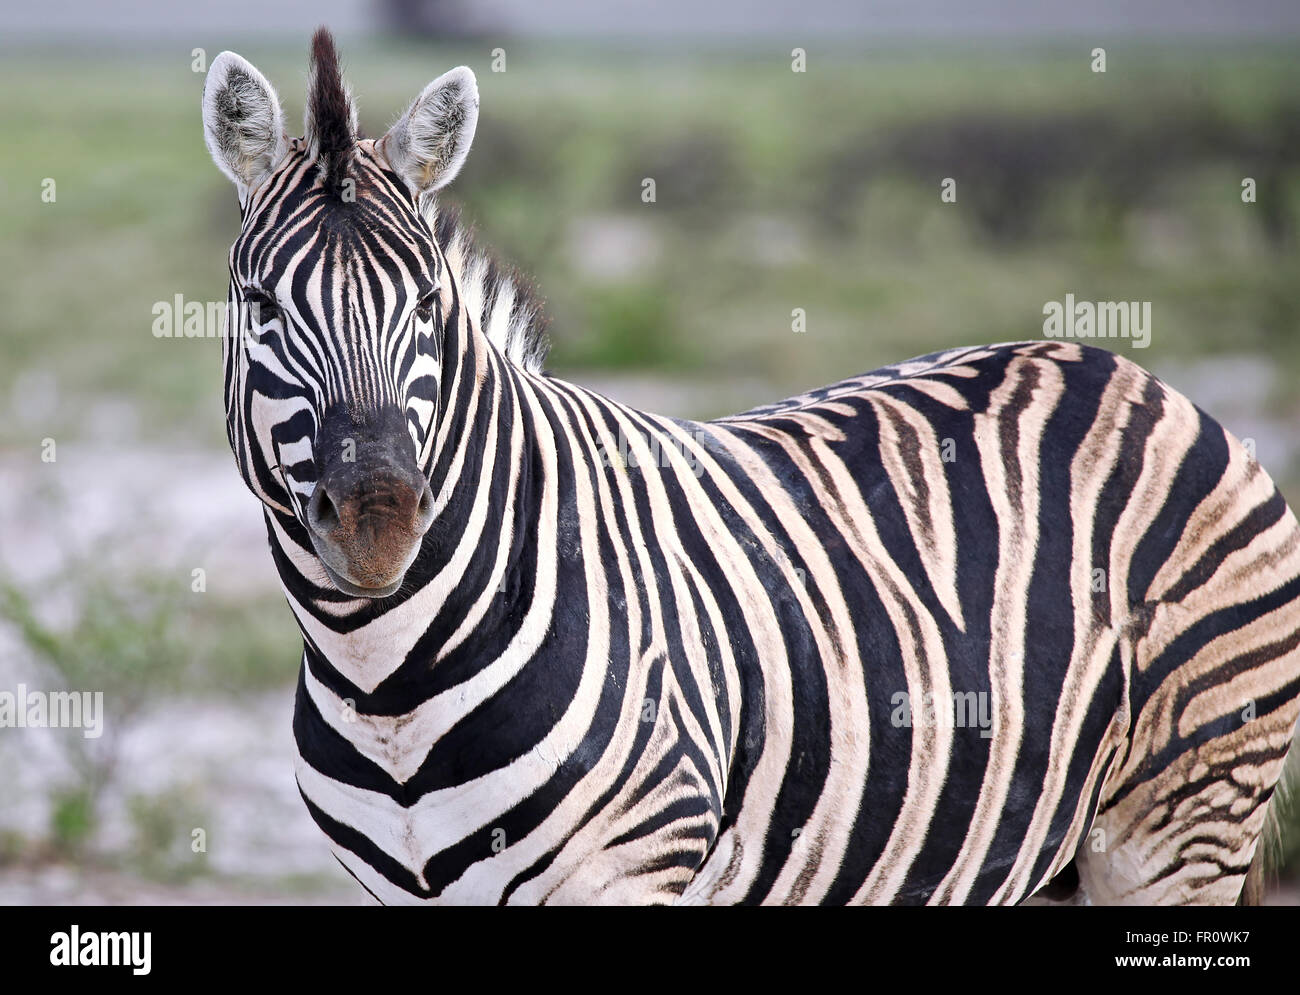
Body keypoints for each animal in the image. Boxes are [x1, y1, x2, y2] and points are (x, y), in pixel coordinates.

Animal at [200, 29, 1300, 905]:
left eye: (428, 303)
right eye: (260, 303)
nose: (378, 523)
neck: (385, 676)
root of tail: (1133, 373)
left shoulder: (627, 868)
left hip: (1182, 811)